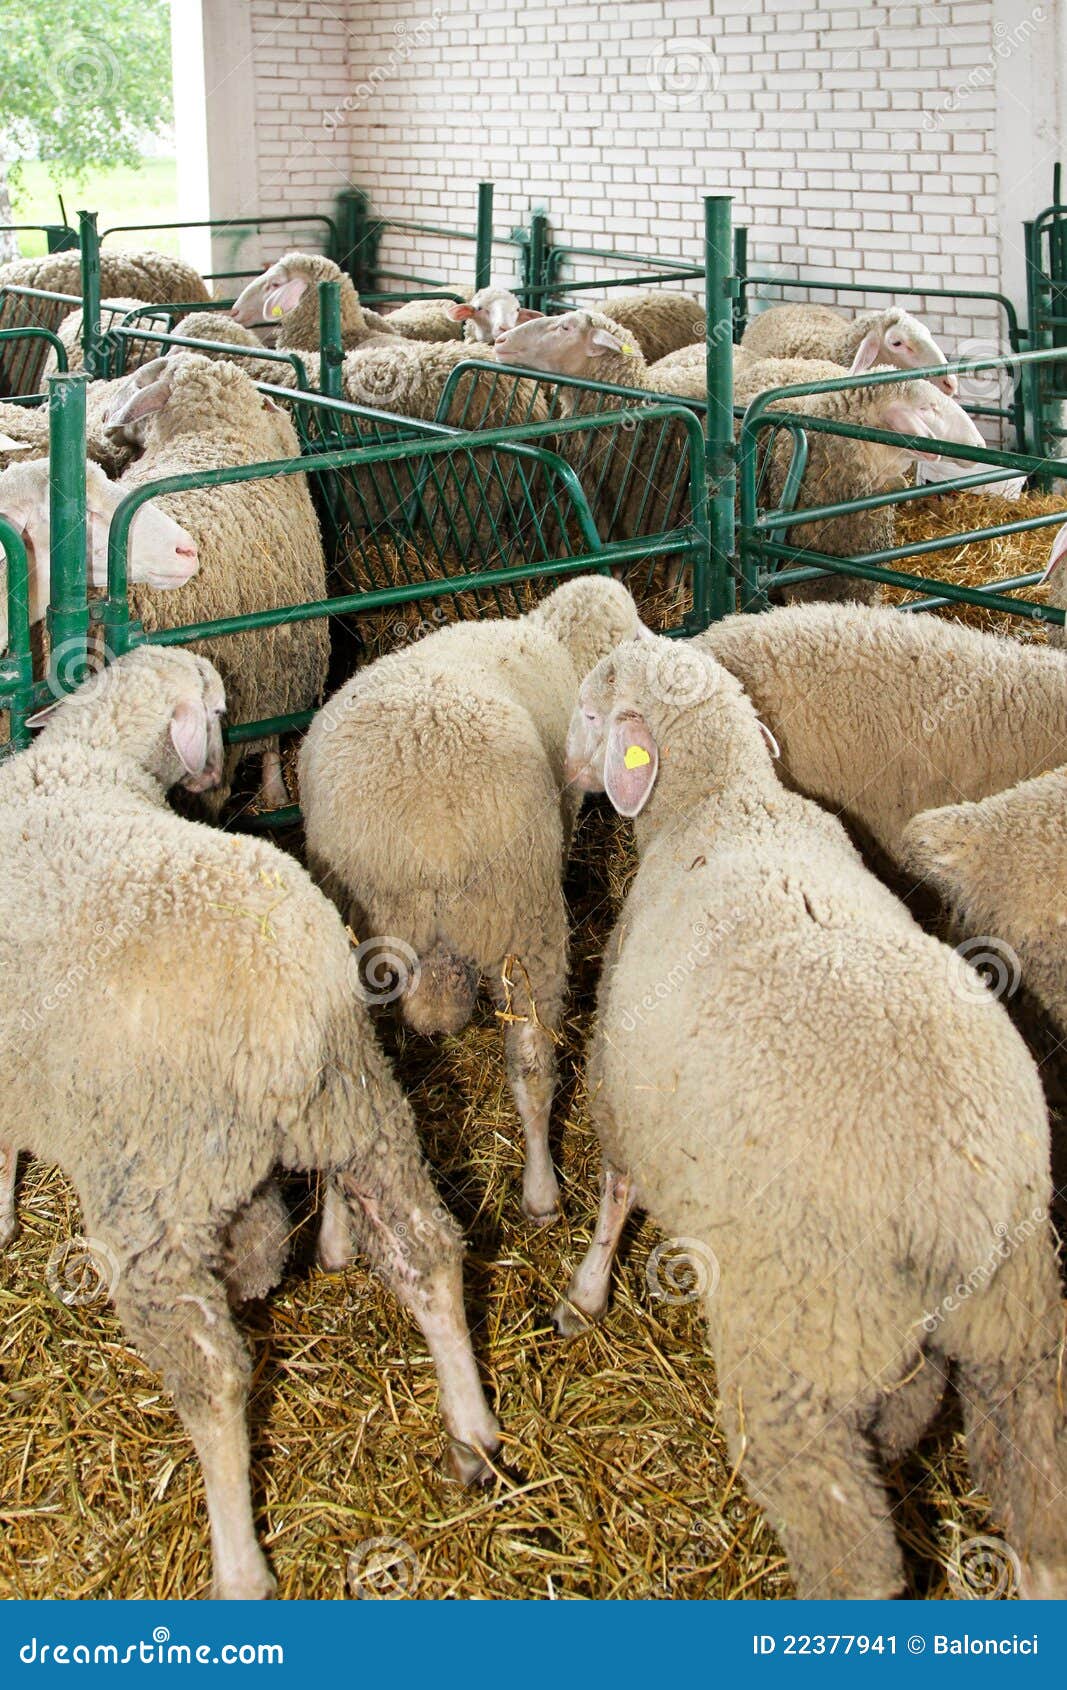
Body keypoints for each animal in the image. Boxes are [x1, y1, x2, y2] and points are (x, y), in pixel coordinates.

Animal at [0, 646, 501, 1598]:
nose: (210, 776)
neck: (89, 759)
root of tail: (285, 1024)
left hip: (151, 1197)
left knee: (215, 1379)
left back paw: (239, 1565)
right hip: (359, 1110)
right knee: (425, 1251)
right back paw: (473, 1433)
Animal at [298, 575, 643, 1225]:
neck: (550, 642)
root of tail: (430, 840)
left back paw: (333, 1229)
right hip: (525, 922)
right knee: (531, 1066)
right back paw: (541, 1192)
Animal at [555, 632, 1067, 1600]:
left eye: (593, 711)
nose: (563, 772)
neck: (725, 802)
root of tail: (948, 1208)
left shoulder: (612, 1078)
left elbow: (614, 1188)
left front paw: (584, 1294)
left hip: (795, 1354)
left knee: (848, 1549)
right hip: (1017, 1330)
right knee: (1033, 1501)